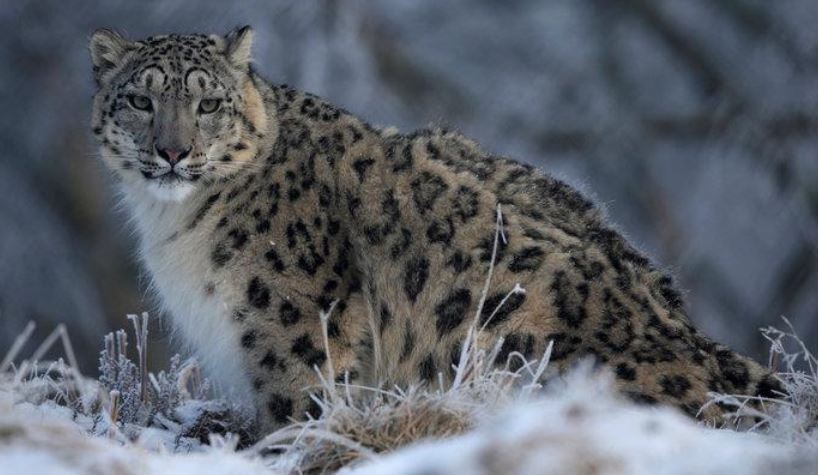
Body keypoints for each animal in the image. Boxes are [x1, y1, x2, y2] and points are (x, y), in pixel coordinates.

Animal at [89, 26, 781, 433]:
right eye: (140, 100)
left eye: (208, 103)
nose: (172, 152)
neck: (174, 224)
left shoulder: (293, 325)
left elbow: (299, 407)